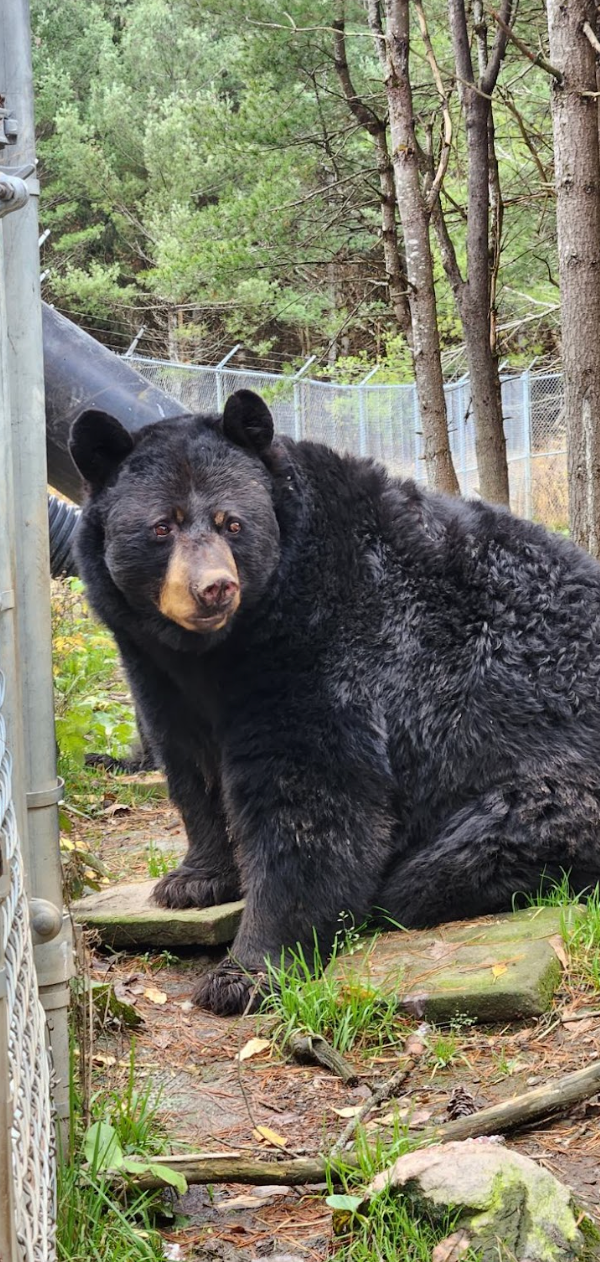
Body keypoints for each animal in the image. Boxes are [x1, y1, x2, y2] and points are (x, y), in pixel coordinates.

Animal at [69, 389, 600, 1016]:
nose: (214, 588)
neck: (223, 647)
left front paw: (245, 973)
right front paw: (193, 880)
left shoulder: (325, 641)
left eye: (233, 523)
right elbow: (190, 765)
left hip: (554, 791)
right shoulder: (156, 669)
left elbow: (313, 797)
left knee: (462, 854)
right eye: (160, 527)